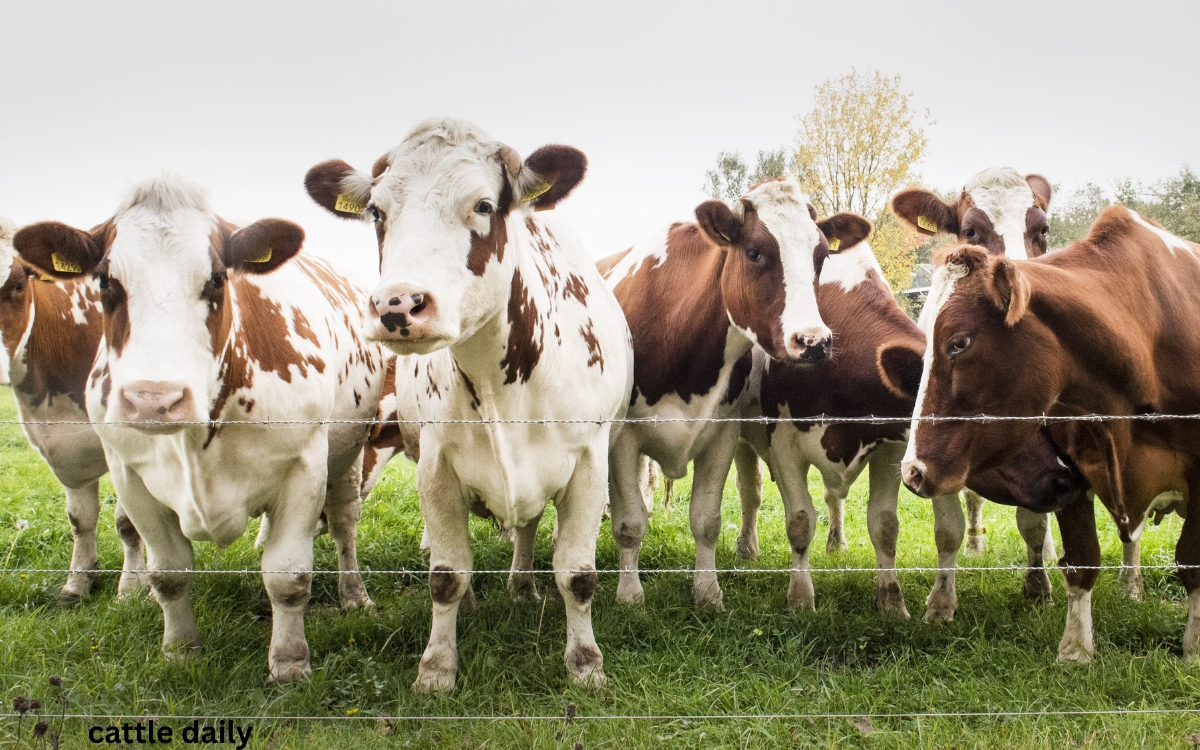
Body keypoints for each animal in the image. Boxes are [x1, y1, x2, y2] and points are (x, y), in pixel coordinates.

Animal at [304, 117, 632, 692]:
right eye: (377, 212)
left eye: (482, 204)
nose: (397, 305)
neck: (501, 379)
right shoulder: (436, 465)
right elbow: (446, 575)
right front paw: (437, 667)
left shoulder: (589, 463)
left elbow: (577, 574)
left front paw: (586, 663)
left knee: (527, 528)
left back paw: (522, 585)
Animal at [597, 177, 871, 610]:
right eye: (754, 251)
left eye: (821, 256)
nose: (813, 341)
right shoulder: (624, 439)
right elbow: (629, 522)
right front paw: (629, 595)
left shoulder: (722, 433)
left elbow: (706, 520)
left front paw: (708, 593)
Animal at [900, 206, 1200, 661]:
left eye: (959, 342)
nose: (912, 471)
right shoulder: (1073, 474)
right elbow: (1081, 561)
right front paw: (1075, 650)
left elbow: (1191, 561)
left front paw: (1193, 647)